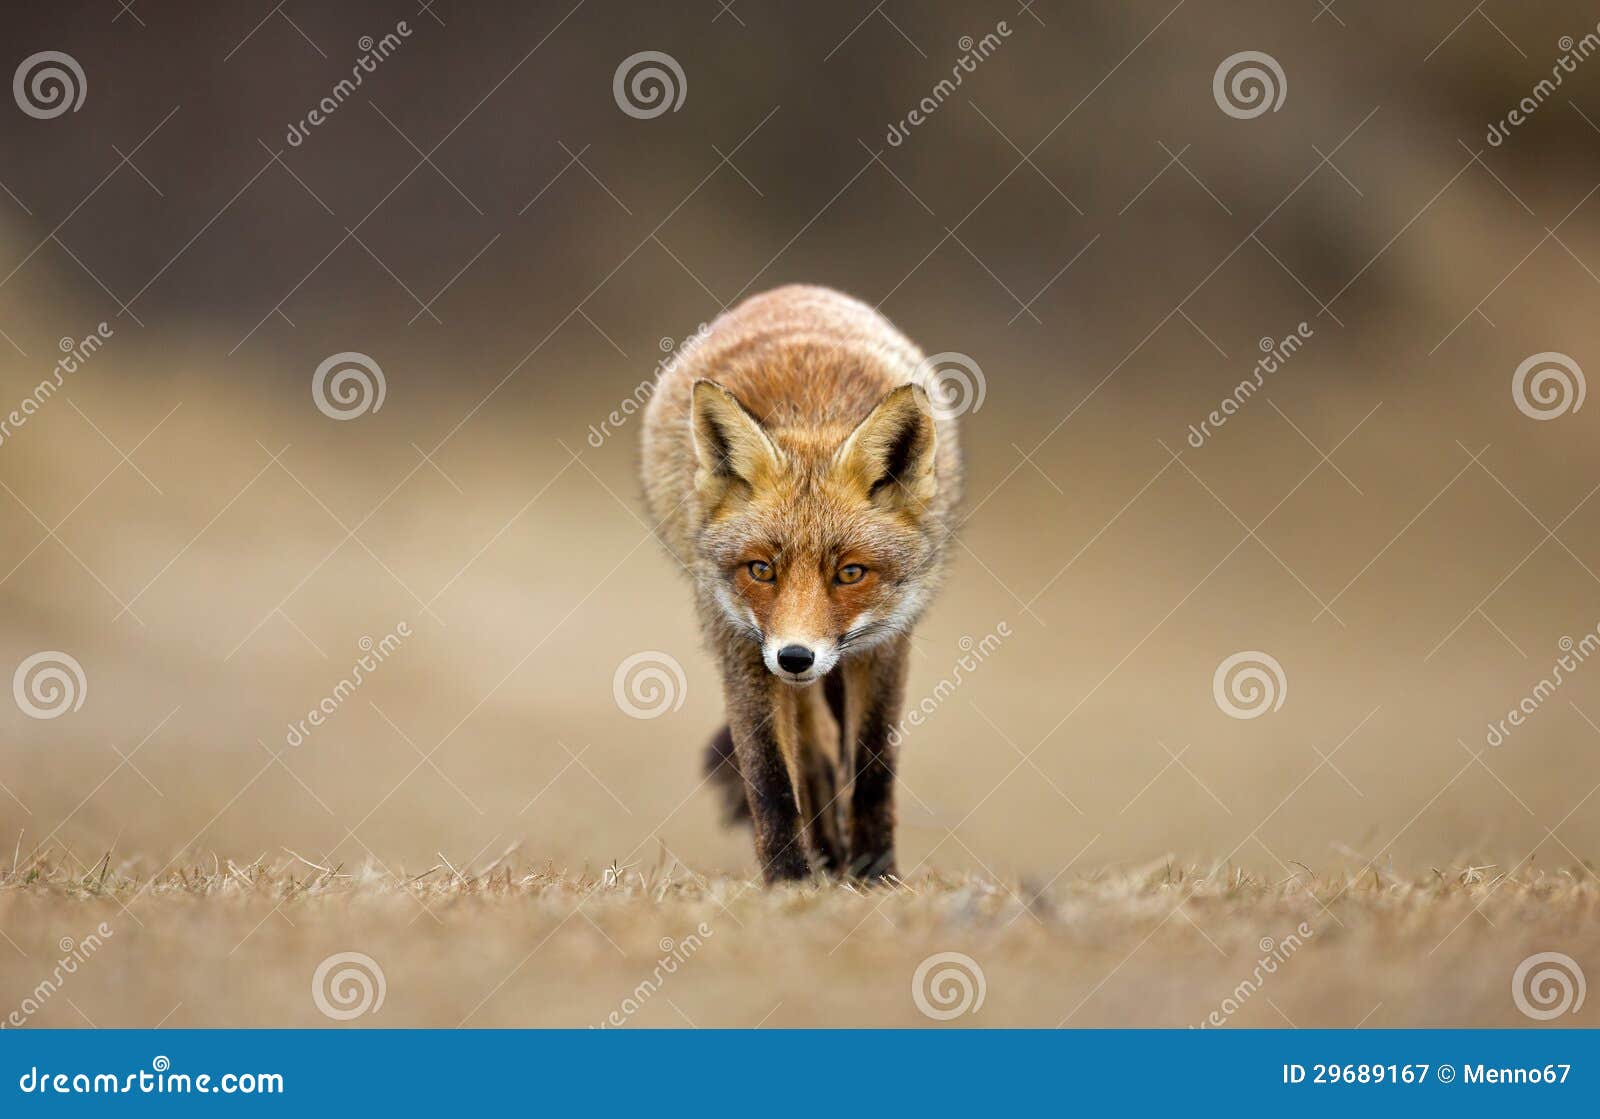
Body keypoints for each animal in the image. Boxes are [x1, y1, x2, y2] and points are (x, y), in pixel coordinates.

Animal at [641, 284, 961, 884]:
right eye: (761, 569)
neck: (813, 414)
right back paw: (826, 853)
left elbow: (874, 765)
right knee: (814, 753)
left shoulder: (886, 643)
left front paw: (876, 874)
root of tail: (792, 291)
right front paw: (789, 879)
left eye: (851, 572)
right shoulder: (739, 641)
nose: (795, 656)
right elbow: (769, 776)